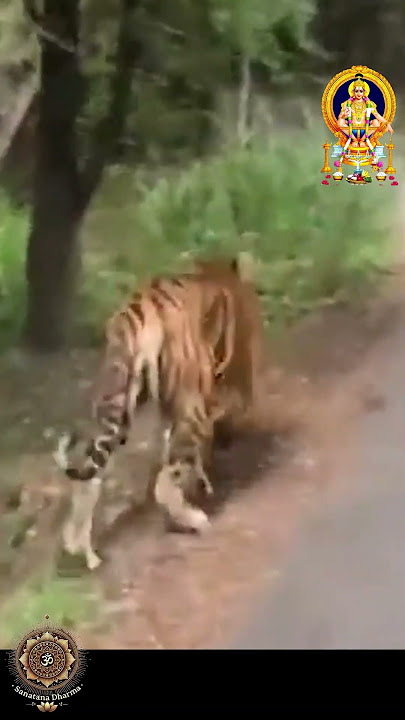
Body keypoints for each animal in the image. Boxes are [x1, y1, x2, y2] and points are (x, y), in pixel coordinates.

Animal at [54, 253, 263, 569]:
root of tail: (138, 308)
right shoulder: (231, 389)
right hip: (187, 408)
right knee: (163, 485)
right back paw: (193, 519)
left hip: (117, 403)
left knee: (87, 479)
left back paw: (78, 548)